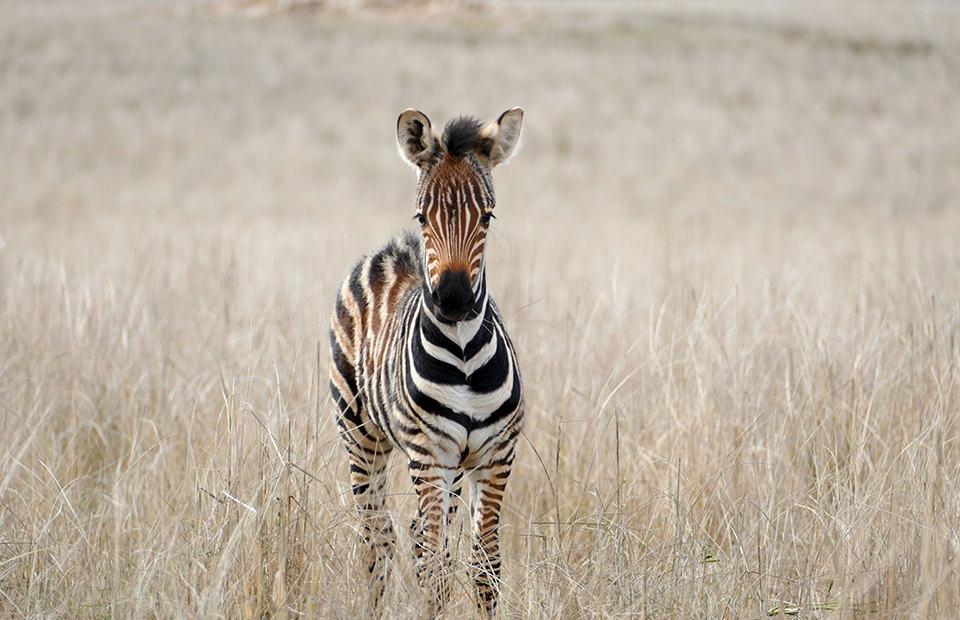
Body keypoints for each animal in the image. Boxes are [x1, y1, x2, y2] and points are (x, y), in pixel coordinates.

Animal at [328, 107, 525, 616]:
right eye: (422, 215)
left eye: (488, 216)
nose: (453, 300)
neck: (464, 356)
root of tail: (391, 251)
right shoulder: (428, 453)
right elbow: (436, 567)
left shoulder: (496, 455)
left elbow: (485, 567)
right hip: (362, 437)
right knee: (377, 540)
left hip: (452, 465)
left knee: (416, 537)